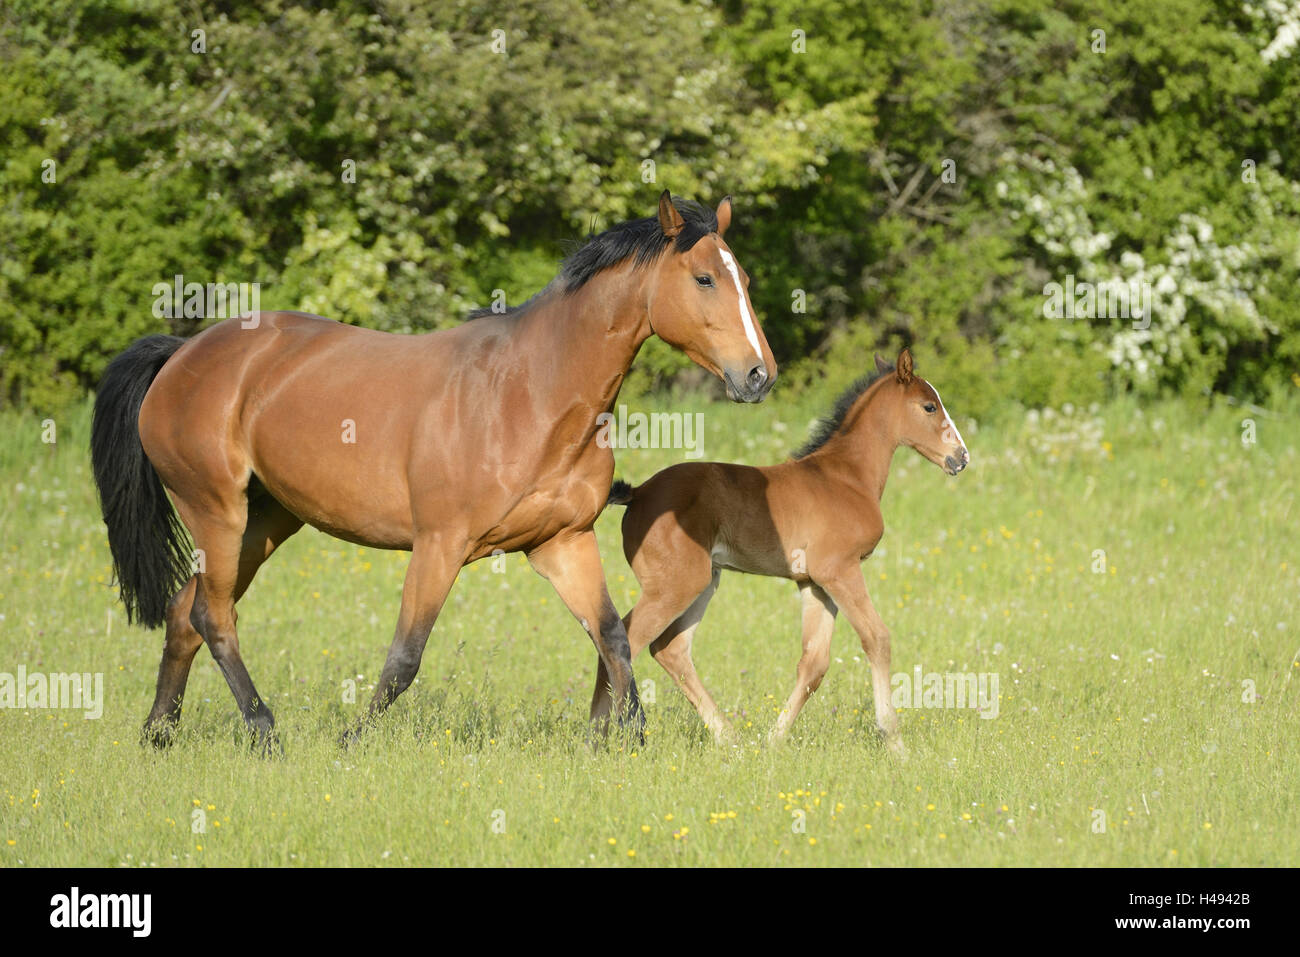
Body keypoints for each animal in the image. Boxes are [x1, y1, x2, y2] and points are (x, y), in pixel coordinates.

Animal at [90, 192, 777, 750]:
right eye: (705, 278)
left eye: (743, 277)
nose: (759, 375)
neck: (530, 393)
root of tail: (183, 353)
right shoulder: (439, 545)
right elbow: (405, 658)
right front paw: (351, 741)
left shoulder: (562, 543)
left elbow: (612, 635)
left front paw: (629, 738)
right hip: (218, 512)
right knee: (214, 618)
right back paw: (263, 731)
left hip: (266, 522)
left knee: (186, 613)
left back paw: (159, 735)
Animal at [592, 349, 967, 755]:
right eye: (929, 406)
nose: (961, 457)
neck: (847, 477)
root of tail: (639, 493)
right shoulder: (840, 570)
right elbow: (877, 638)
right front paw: (895, 743)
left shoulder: (814, 582)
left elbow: (814, 663)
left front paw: (773, 740)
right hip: (677, 584)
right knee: (623, 640)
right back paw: (604, 740)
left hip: (705, 580)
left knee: (668, 648)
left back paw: (728, 739)